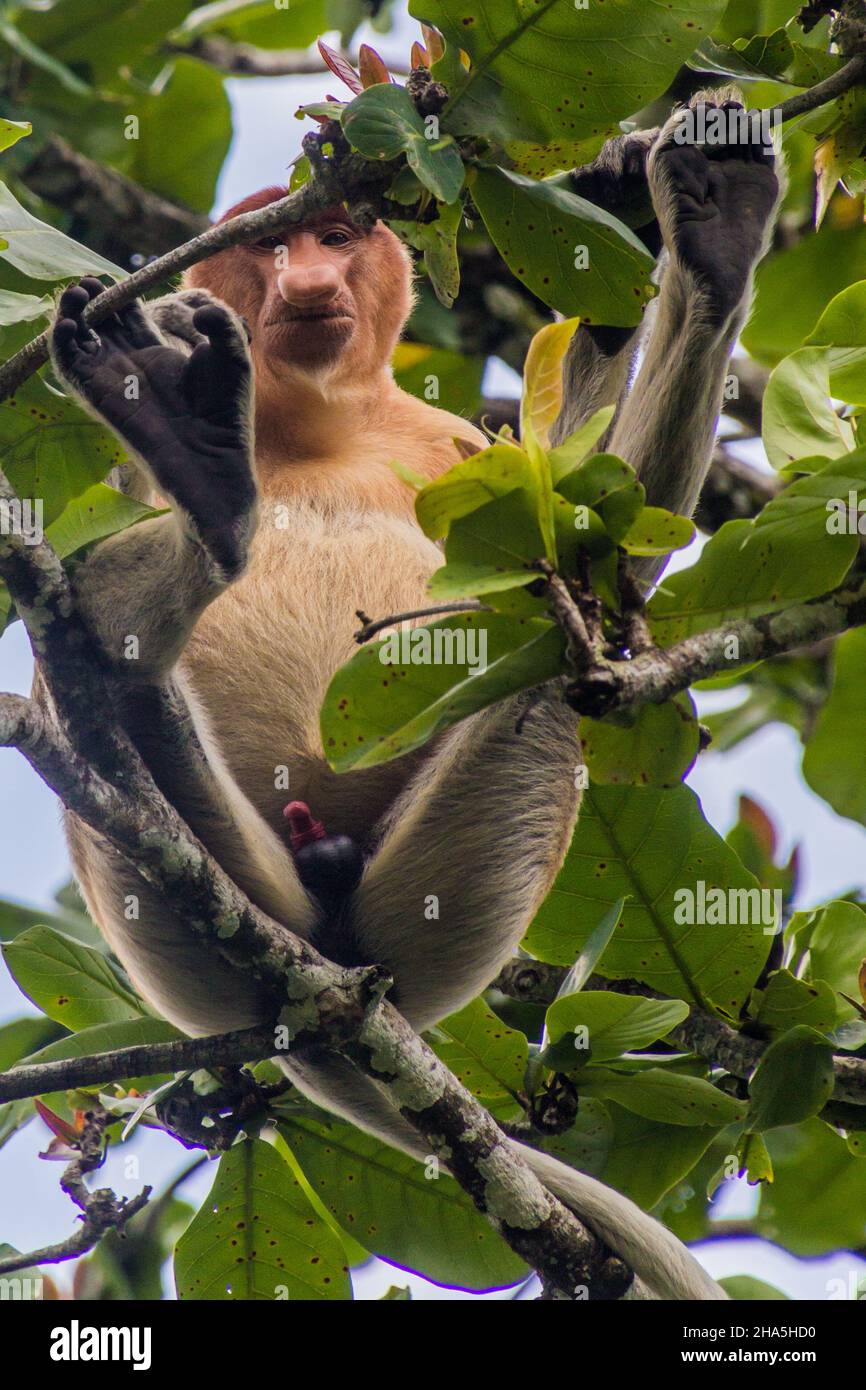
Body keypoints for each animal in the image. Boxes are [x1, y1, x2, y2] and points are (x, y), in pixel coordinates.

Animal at [45, 93, 782, 1300]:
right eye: (271, 246)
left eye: (336, 235)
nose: (305, 282)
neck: (314, 425)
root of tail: (331, 995)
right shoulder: (103, 491)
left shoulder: (455, 446)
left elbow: (596, 561)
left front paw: (667, 222)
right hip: (175, 931)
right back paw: (181, 505)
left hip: (449, 909)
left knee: (549, 675)